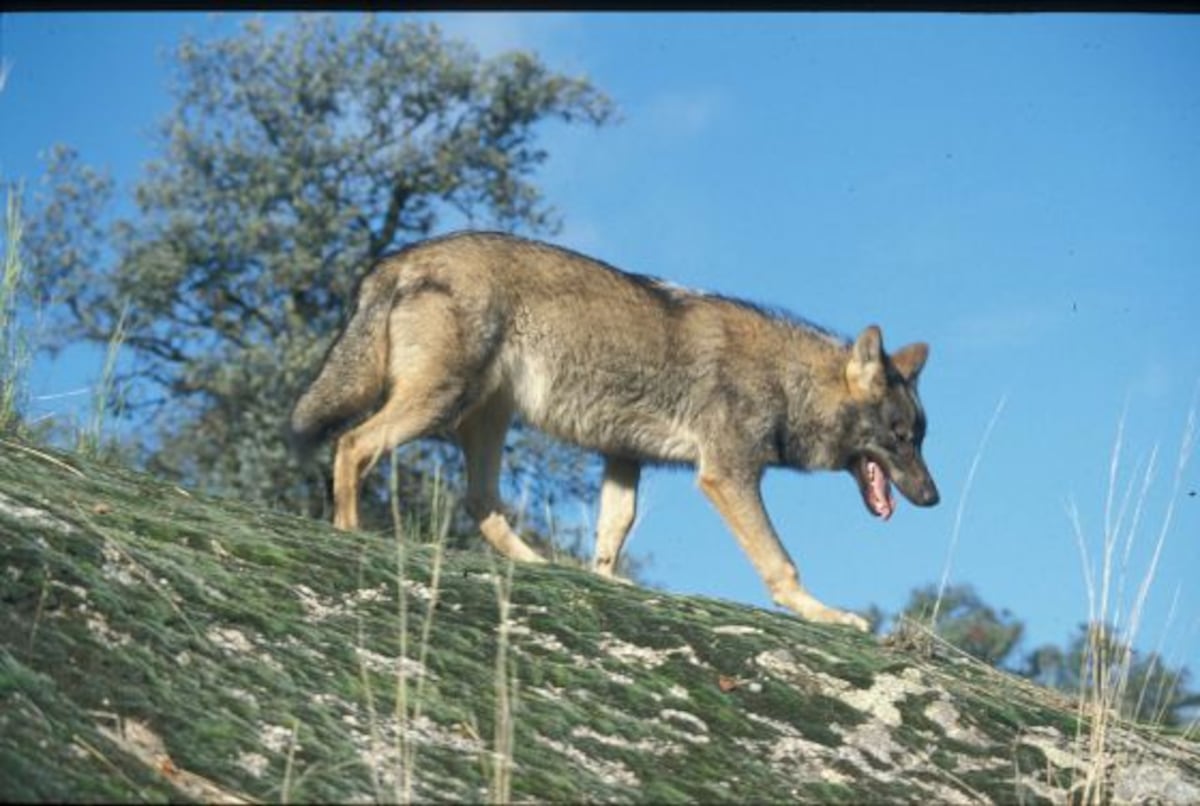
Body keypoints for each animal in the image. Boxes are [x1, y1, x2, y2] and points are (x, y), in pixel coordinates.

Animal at [289, 231, 938, 631]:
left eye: (920, 437)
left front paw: (604, 584)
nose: (933, 497)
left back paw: (540, 565)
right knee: (353, 444)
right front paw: (825, 614)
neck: (786, 383)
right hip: (439, 405)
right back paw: (348, 532)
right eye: (901, 436)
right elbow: (781, 564)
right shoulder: (727, 476)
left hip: (484, 419)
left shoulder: (624, 458)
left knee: (480, 501)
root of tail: (399, 259)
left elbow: (612, 535)